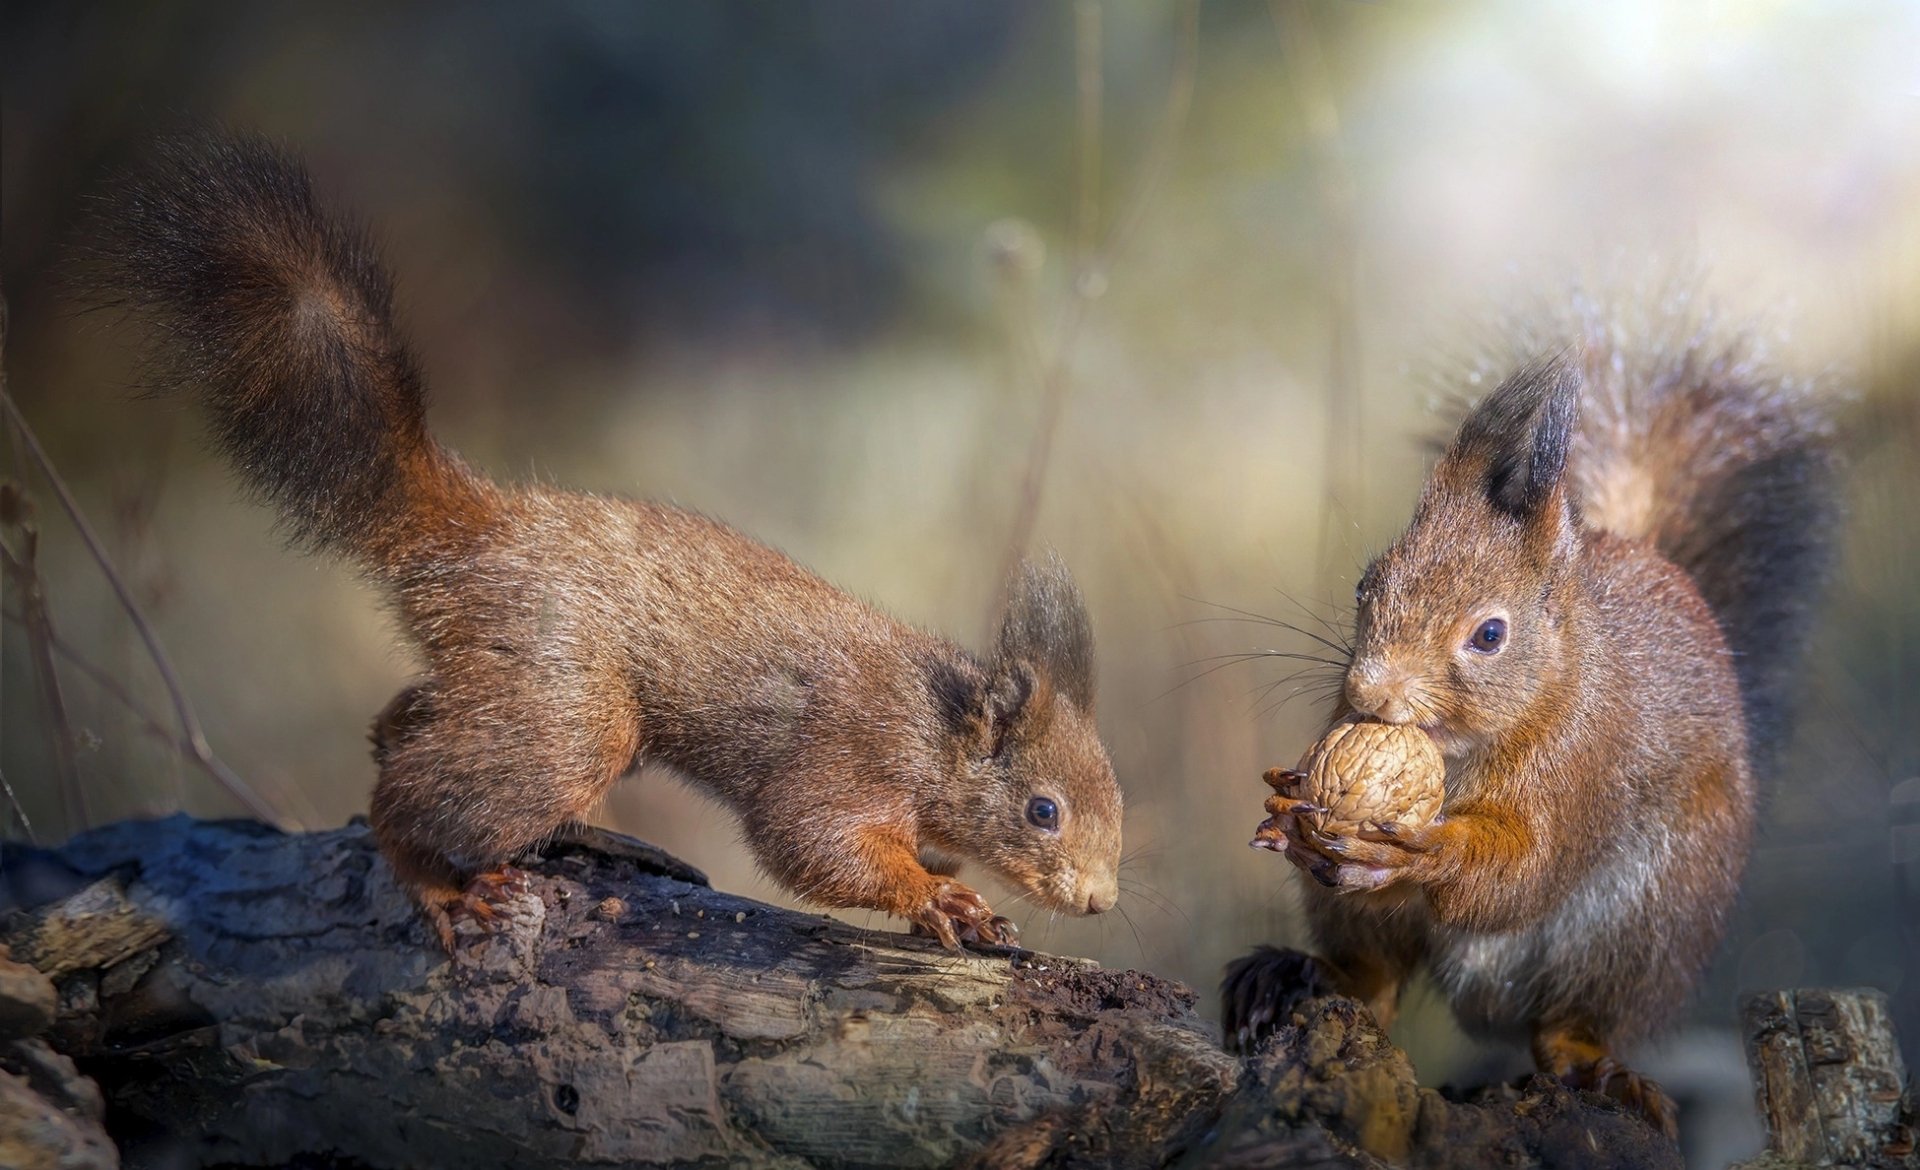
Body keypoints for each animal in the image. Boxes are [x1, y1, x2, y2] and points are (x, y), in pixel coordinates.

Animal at [75, 132, 1124, 951]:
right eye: (1043, 810)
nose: (1101, 901)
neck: (936, 729)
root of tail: (478, 528)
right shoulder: (848, 756)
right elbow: (810, 840)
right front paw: (940, 895)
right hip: (567, 706)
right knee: (405, 801)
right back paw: (441, 882)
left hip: (508, 679)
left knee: (407, 724)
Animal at [1220, 307, 1840, 1137]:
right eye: (1365, 584)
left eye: (1489, 635)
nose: (1369, 694)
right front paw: (1291, 809)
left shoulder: (1583, 762)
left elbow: (1524, 871)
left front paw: (1427, 850)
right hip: (1361, 921)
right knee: (1371, 979)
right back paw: (1293, 975)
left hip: (1640, 927)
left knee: (1564, 1027)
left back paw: (1599, 1071)